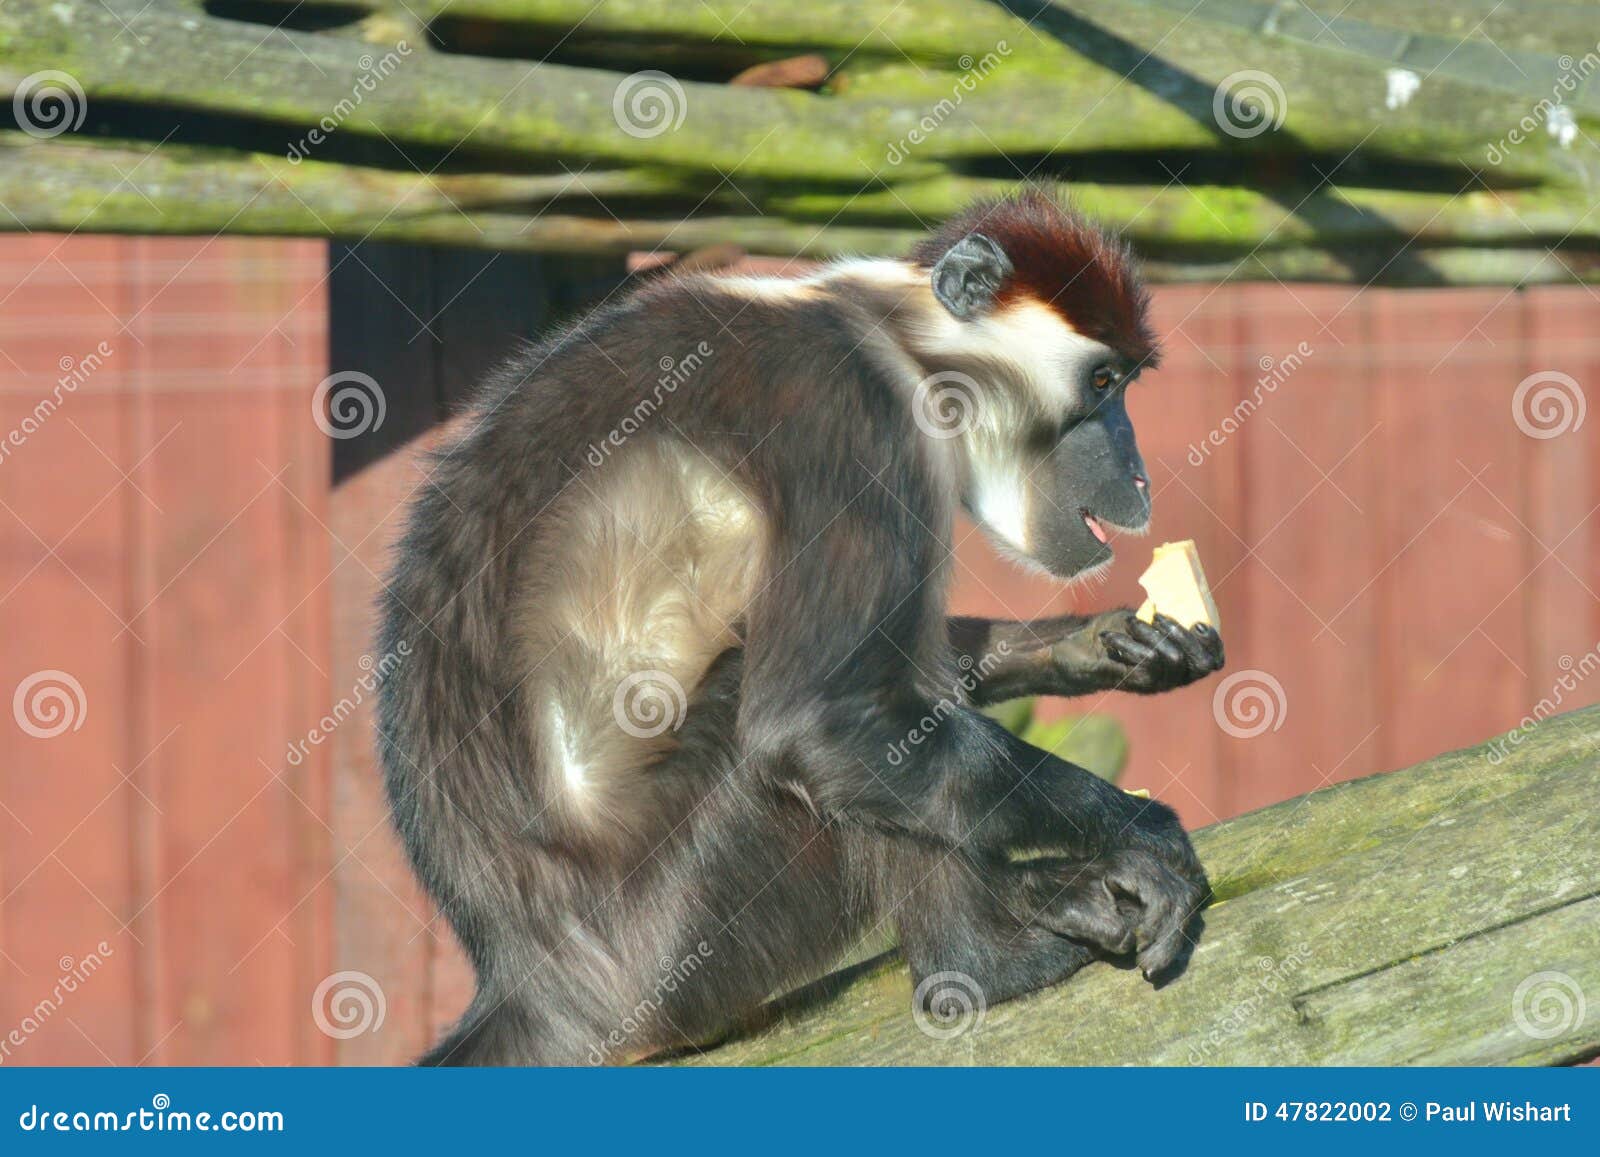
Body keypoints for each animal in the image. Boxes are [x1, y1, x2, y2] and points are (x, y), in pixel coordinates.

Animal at [376, 186, 1225, 1066]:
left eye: (1125, 382)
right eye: (1102, 381)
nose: (1136, 473)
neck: (888, 332)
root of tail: (529, 979)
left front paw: (1105, 646)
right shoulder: (853, 413)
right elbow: (816, 725)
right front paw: (1141, 823)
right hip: (680, 939)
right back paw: (984, 961)